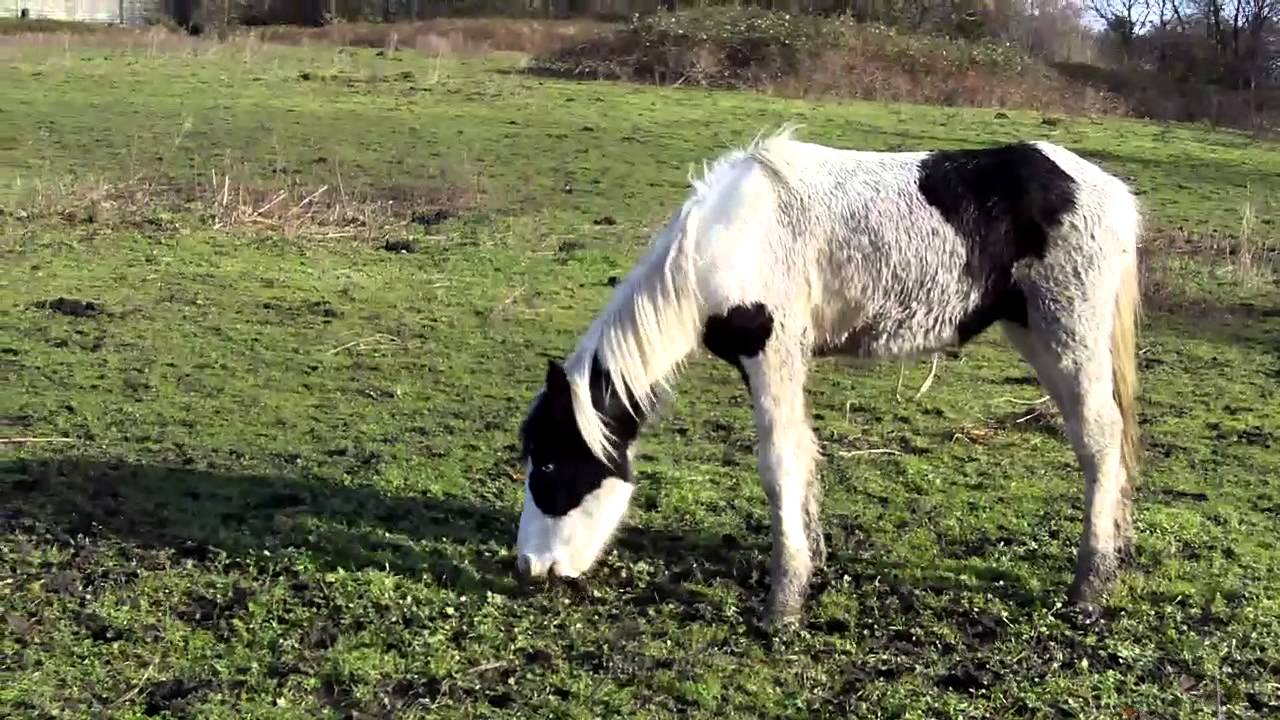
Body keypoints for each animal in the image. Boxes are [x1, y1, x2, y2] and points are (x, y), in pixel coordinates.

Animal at [514, 126, 1142, 626]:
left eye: (550, 465)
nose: (529, 567)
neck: (722, 241)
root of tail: (1112, 193)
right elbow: (802, 457)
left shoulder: (772, 353)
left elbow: (780, 464)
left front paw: (783, 603)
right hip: (1032, 331)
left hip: (1067, 332)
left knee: (1099, 440)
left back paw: (1089, 588)